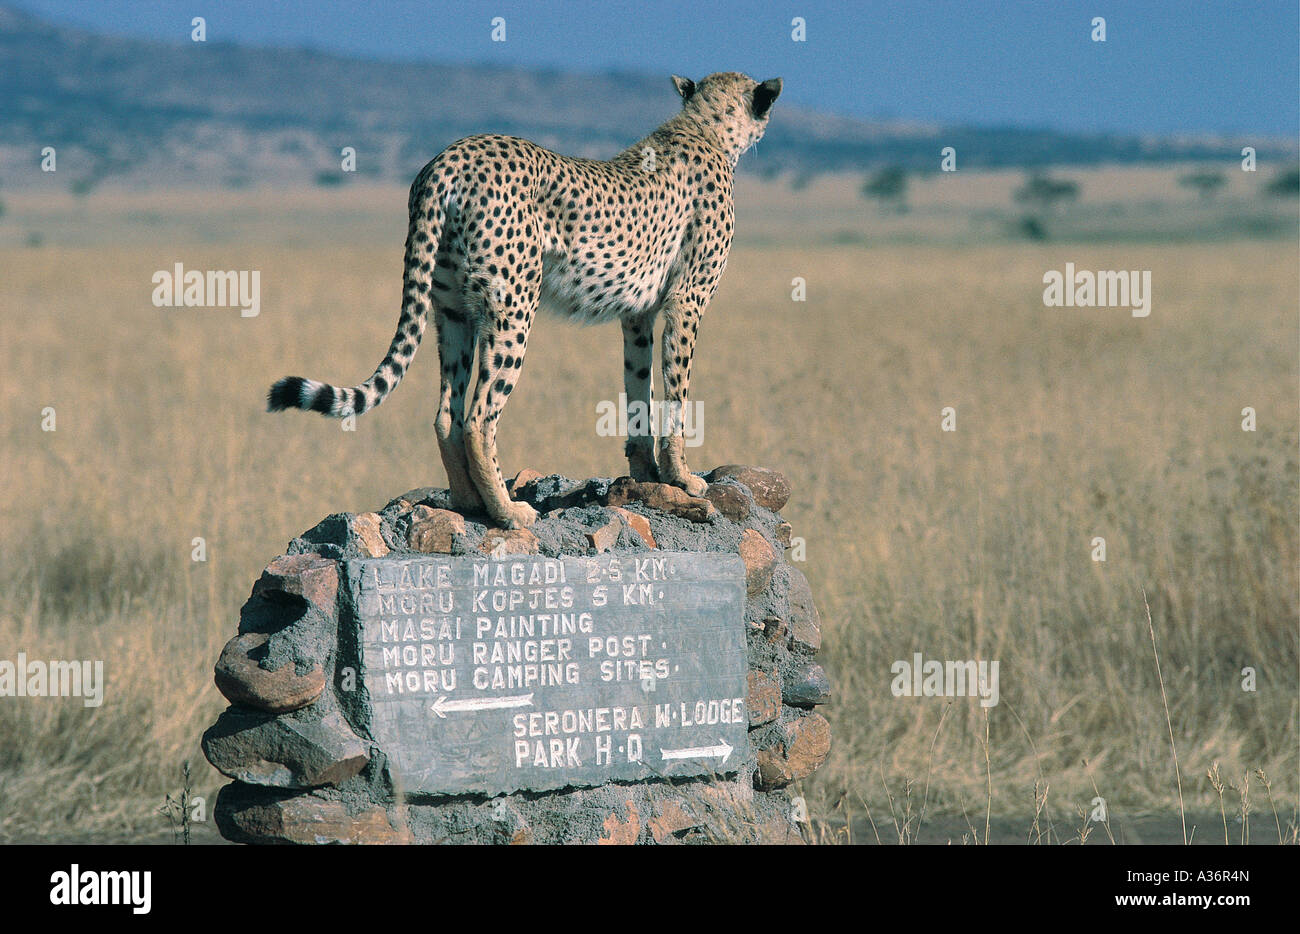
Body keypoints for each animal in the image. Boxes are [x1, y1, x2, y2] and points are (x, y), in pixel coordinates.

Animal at [268, 71, 782, 528]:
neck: (705, 127)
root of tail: (449, 157)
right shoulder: (686, 302)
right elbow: (677, 393)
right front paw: (683, 477)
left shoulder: (637, 316)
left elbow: (639, 390)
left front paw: (646, 472)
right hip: (513, 306)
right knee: (478, 418)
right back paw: (508, 512)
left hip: (453, 312)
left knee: (447, 413)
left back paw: (468, 502)